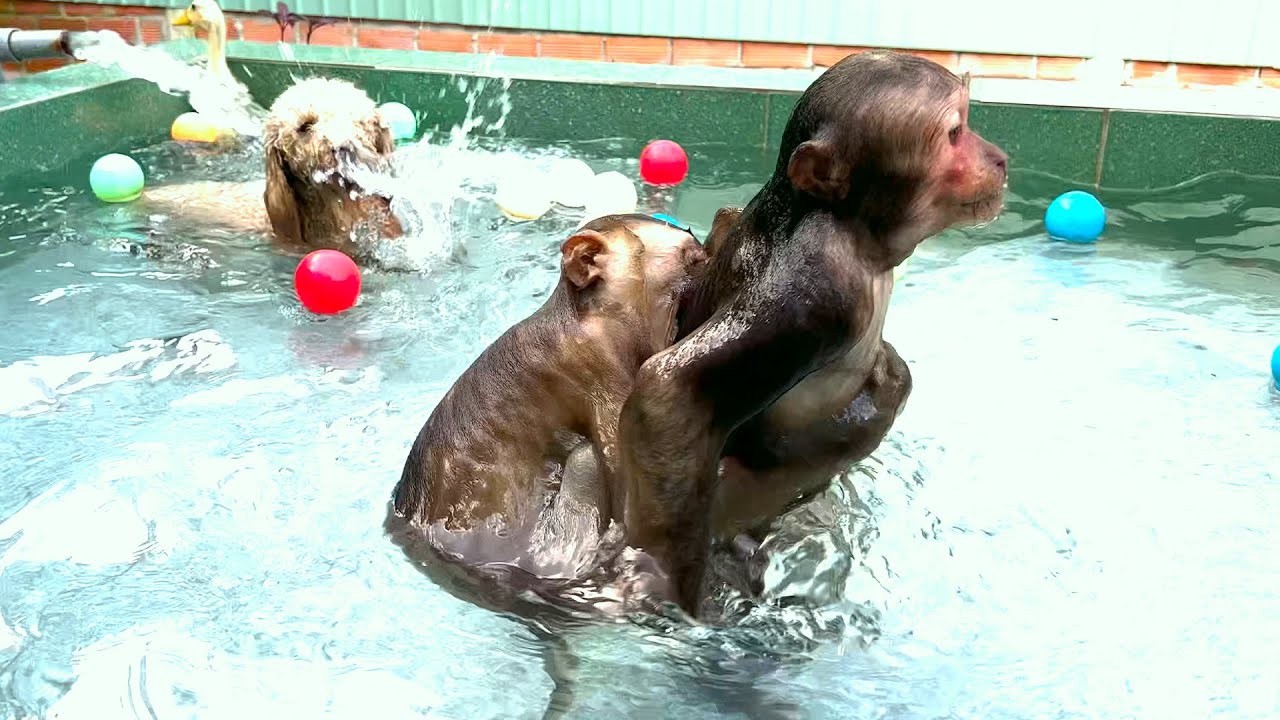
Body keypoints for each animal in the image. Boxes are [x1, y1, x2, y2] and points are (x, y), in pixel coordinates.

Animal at [615, 50, 1010, 615]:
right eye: (955, 132)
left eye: (968, 124)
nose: (998, 158)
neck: (860, 238)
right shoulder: (817, 292)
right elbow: (670, 390)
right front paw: (669, 590)